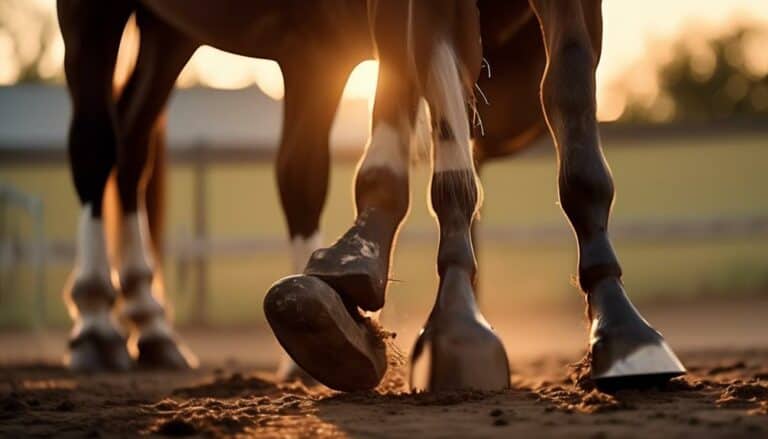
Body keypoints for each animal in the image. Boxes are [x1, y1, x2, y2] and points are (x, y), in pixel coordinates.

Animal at [57, 0, 685, 391]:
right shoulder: (335, 44)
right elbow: (409, 143)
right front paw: (446, 323)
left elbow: (571, 99)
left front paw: (620, 325)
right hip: (96, 13)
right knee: (95, 147)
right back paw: (96, 326)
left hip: (173, 33)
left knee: (133, 148)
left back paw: (153, 327)